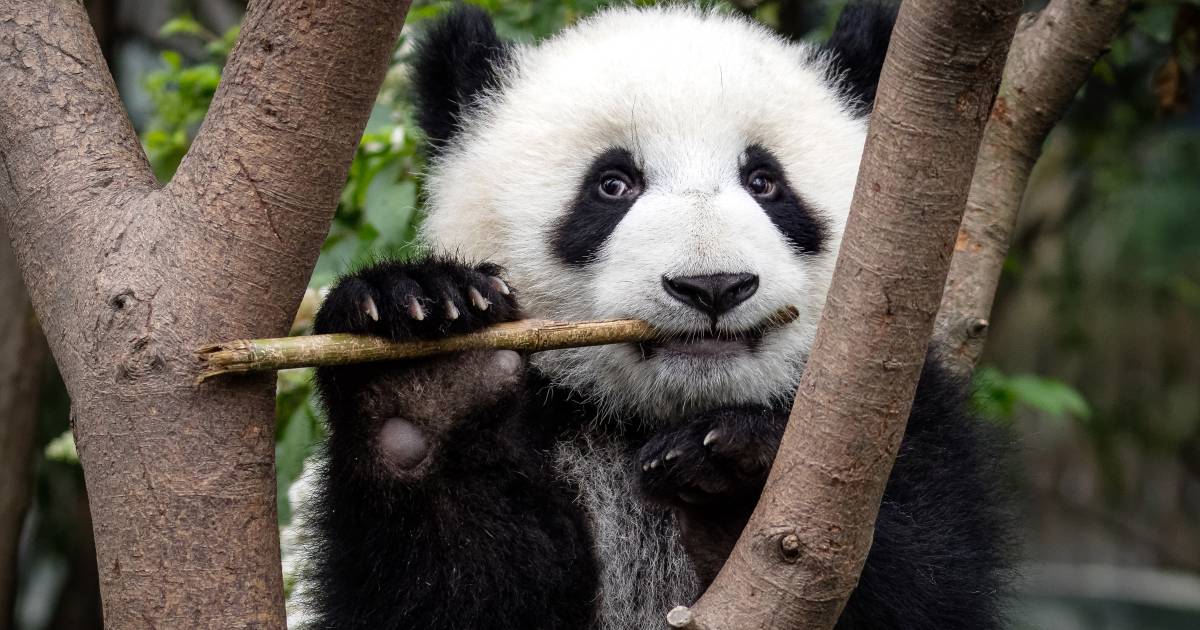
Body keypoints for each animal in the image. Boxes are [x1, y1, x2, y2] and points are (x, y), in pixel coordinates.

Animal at [300, 2, 1014, 629]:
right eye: (613, 185)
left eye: (766, 183)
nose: (712, 286)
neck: (649, 417)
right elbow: (453, 590)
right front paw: (429, 373)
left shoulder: (900, 422)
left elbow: (926, 581)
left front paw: (731, 477)